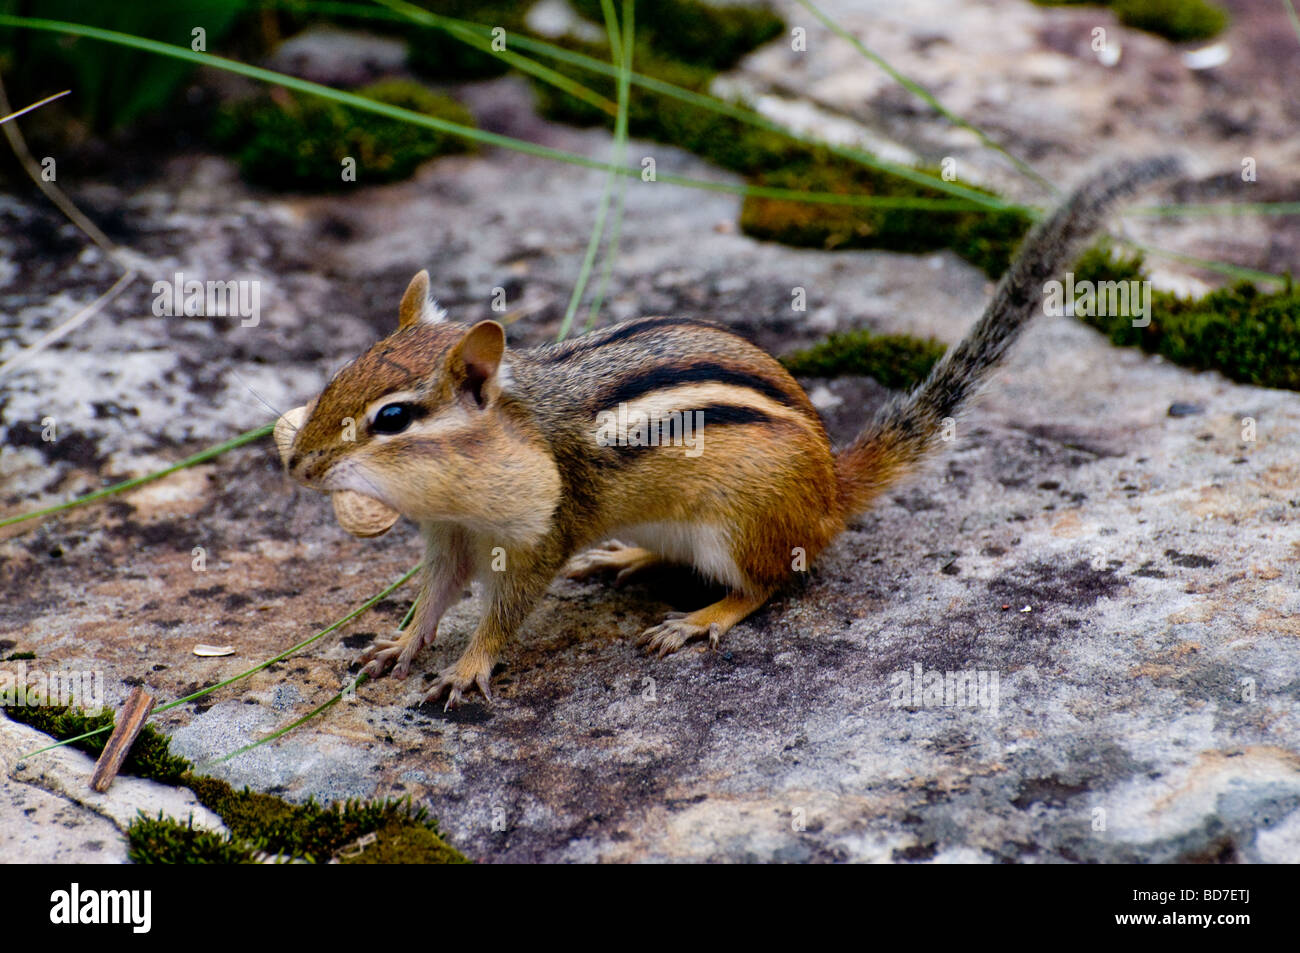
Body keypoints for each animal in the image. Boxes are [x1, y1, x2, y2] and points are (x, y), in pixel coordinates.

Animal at [279, 156, 1179, 708]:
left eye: (393, 418)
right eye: (341, 375)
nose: (297, 467)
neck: (464, 479)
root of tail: (830, 489)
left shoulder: (536, 533)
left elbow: (505, 613)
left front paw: (468, 669)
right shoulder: (447, 536)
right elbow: (434, 595)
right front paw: (400, 645)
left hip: (739, 522)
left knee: (767, 584)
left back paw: (700, 618)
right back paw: (626, 557)